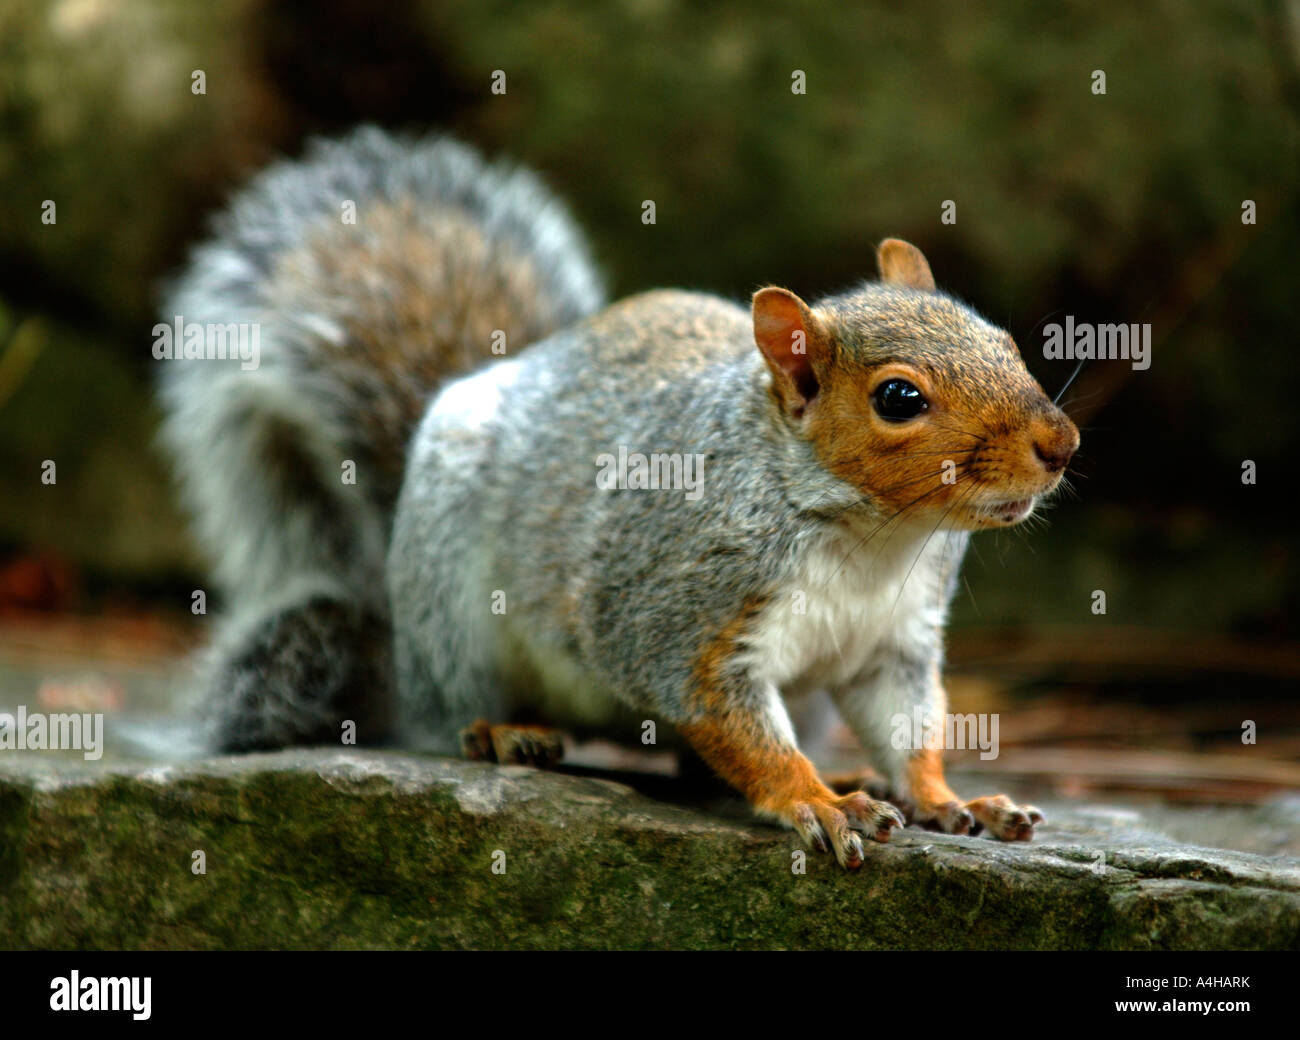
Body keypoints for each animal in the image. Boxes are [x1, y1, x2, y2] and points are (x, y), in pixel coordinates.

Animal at [162, 127, 1078, 868]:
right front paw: (816, 802)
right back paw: (501, 731)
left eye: (1003, 340)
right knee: (444, 709)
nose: (1061, 445)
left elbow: (907, 727)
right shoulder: (682, 611)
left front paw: (947, 798)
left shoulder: (896, 641)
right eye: (898, 398)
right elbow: (723, 716)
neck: (872, 536)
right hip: (451, 607)